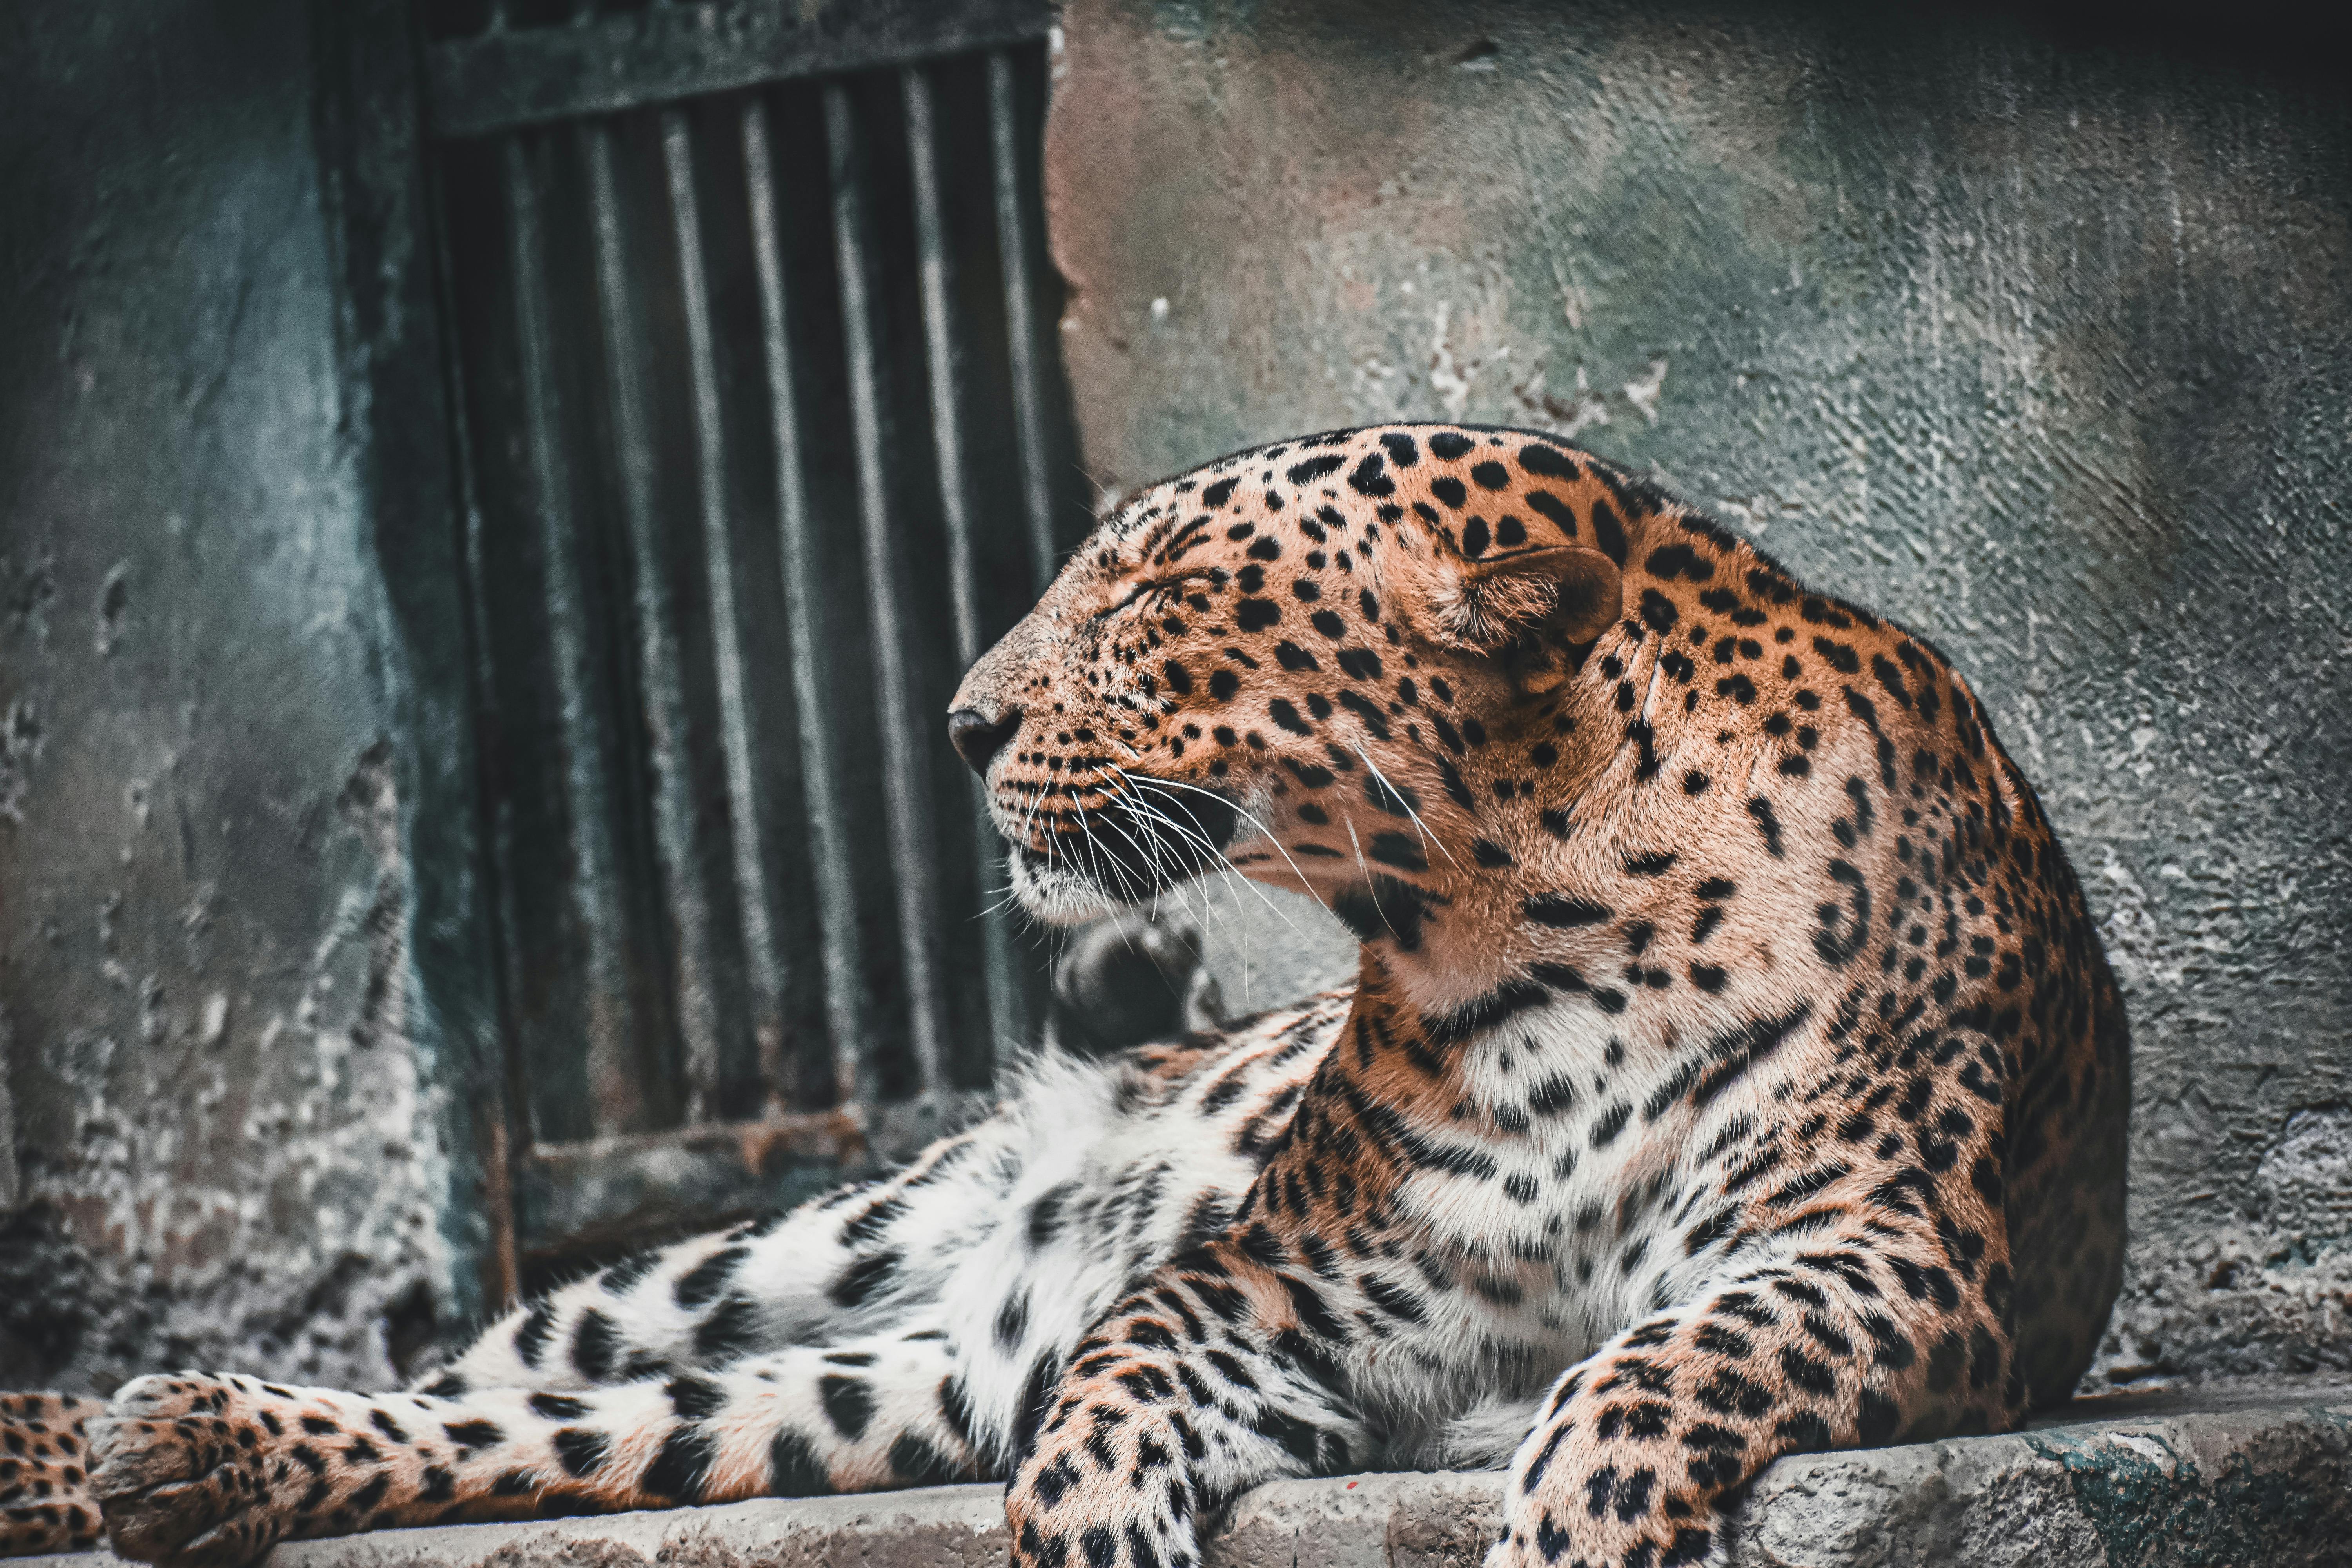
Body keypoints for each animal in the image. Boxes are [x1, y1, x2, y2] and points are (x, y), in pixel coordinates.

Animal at [0, 423, 2127, 1568]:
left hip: (900, 1378)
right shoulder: (1287, 1278)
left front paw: (1572, 1524)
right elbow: (1122, 1369)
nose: (956, 726)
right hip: (780, 1256)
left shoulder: (1898, 1253)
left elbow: (1651, 1364)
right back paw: (130, 1433)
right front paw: (1096, 1521)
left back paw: (175, 1459)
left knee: (569, 1424)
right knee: (469, 1376)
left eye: (1155, 595)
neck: (1532, 933)